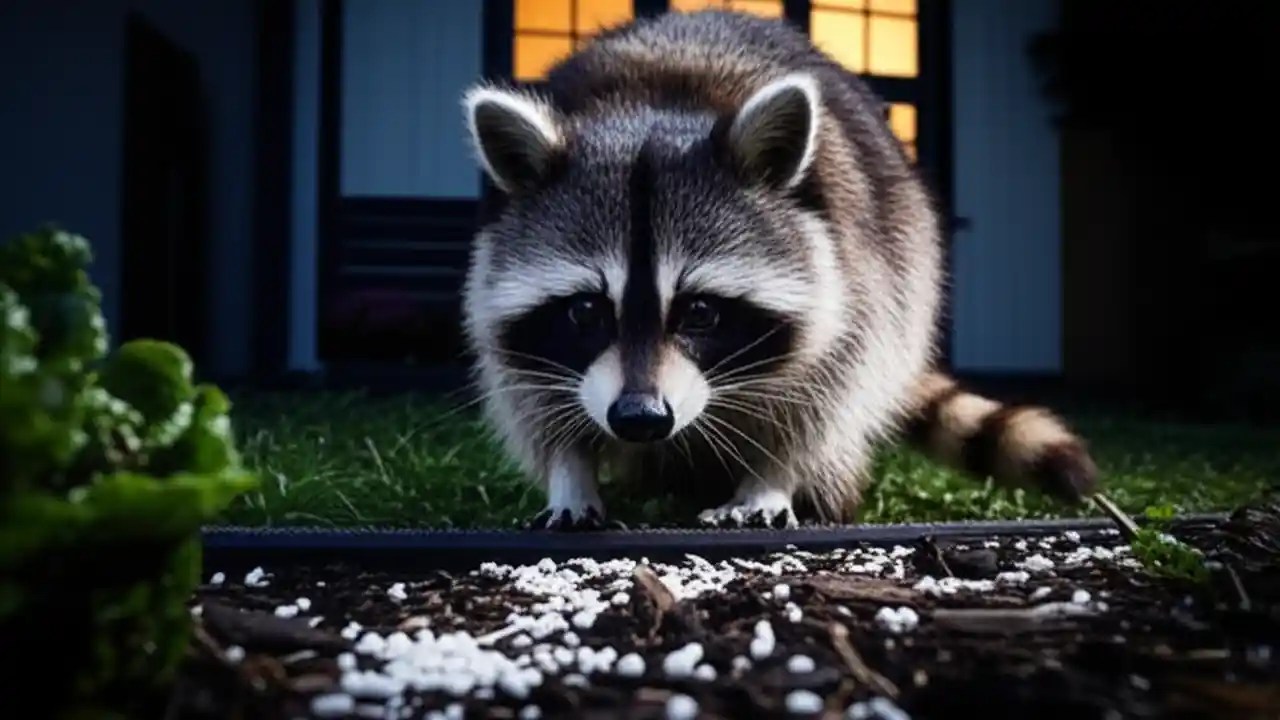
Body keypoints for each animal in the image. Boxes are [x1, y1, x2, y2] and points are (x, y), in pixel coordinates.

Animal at [458, 9, 1099, 529]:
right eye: (586, 310)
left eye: (701, 311)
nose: (640, 418)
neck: (654, 106)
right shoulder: (505, 307)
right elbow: (534, 398)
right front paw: (571, 475)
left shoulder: (860, 283)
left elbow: (822, 399)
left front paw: (770, 478)